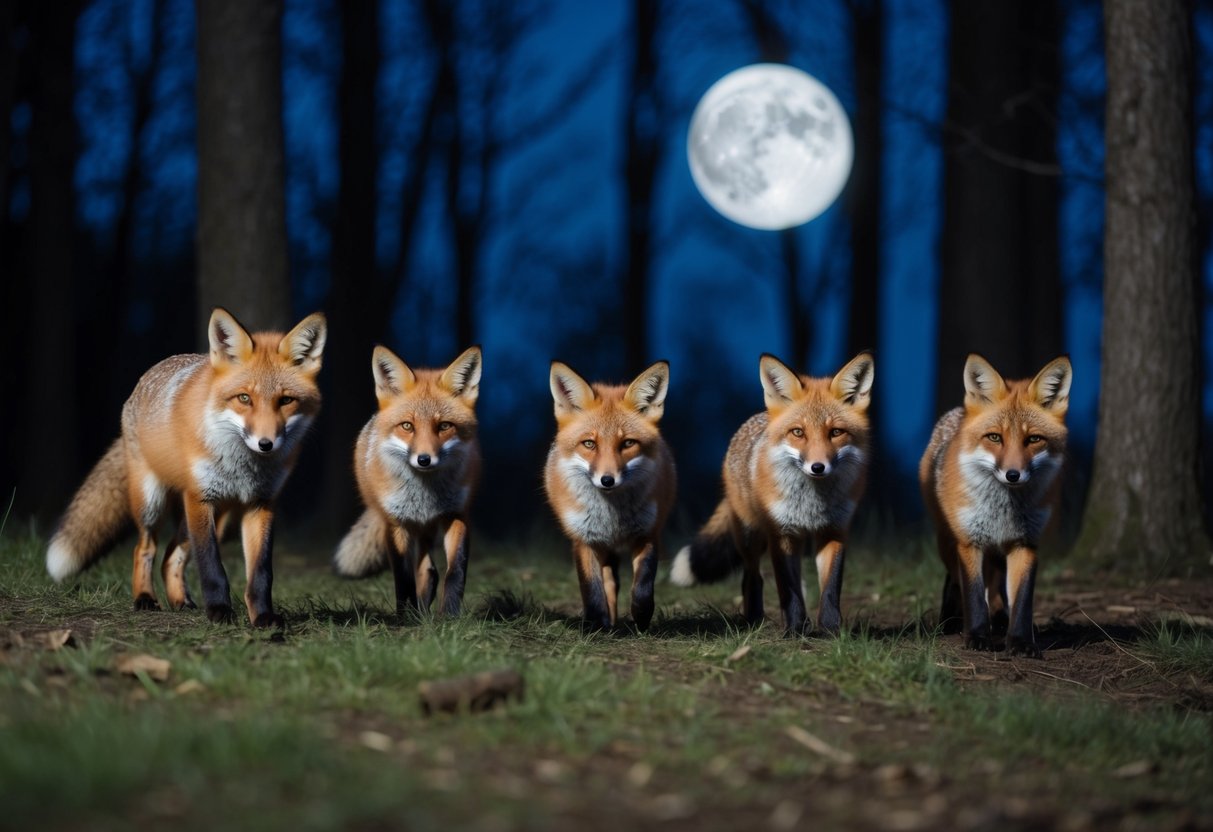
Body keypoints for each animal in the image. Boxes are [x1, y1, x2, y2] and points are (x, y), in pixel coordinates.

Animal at [46, 308, 327, 626]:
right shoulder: (199, 499)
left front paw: (263, 617)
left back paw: (180, 601)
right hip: (152, 503)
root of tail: (146, 377)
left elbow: (261, 573)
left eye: (286, 400)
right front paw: (219, 611)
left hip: (218, 517)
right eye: (244, 398)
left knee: (171, 555)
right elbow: (211, 567)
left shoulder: (261, 504)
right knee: (144, 549)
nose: (265, 444)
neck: (244, 469)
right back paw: (145, 598)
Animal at [332, 345, 482, 617]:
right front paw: (405, 617)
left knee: (429, 570)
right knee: (424, 569)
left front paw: (450, 614)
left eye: (444, 426)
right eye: (407, 426)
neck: (425, 495)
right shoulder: (396, 523)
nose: (424, 459)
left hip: (426, 529)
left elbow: (455, 570)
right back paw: (418, 613)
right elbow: (403, 578)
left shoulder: (457, 515)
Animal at [543, 360, 676, 632]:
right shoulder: (583, 540)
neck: (611, 517)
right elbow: (592, 590)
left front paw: (642, 617)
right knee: (609, 583)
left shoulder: (649, 533)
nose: (607, 480)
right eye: (589, 444)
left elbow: (643, 584)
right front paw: (596, 624)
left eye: (627, 443)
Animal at [670, 352, 874, 637]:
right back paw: (754, 619)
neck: (812, 504)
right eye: (798, 432)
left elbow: (831, 588)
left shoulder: (834, 531)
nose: (818, 467)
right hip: (751, 536)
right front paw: (794, 630)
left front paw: (832, 630)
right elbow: (787, 590)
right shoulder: (781, 533)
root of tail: (757, 417)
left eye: (836, 432)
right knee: (752, 576)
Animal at [920, 354, 1071, 658]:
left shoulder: (1026, 543)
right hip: (947, 540)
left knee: (997, 581)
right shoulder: (970, 542)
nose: (1013, 475)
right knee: (954, 579)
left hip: (998, 549)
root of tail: (958, 413)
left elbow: (1022, 599)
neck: (1003, 510)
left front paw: (1021, 641)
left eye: (1033, 439)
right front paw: (978, 637)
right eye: (995, 437)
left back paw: (1000, 620)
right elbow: (975, 596)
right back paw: (950, 621)